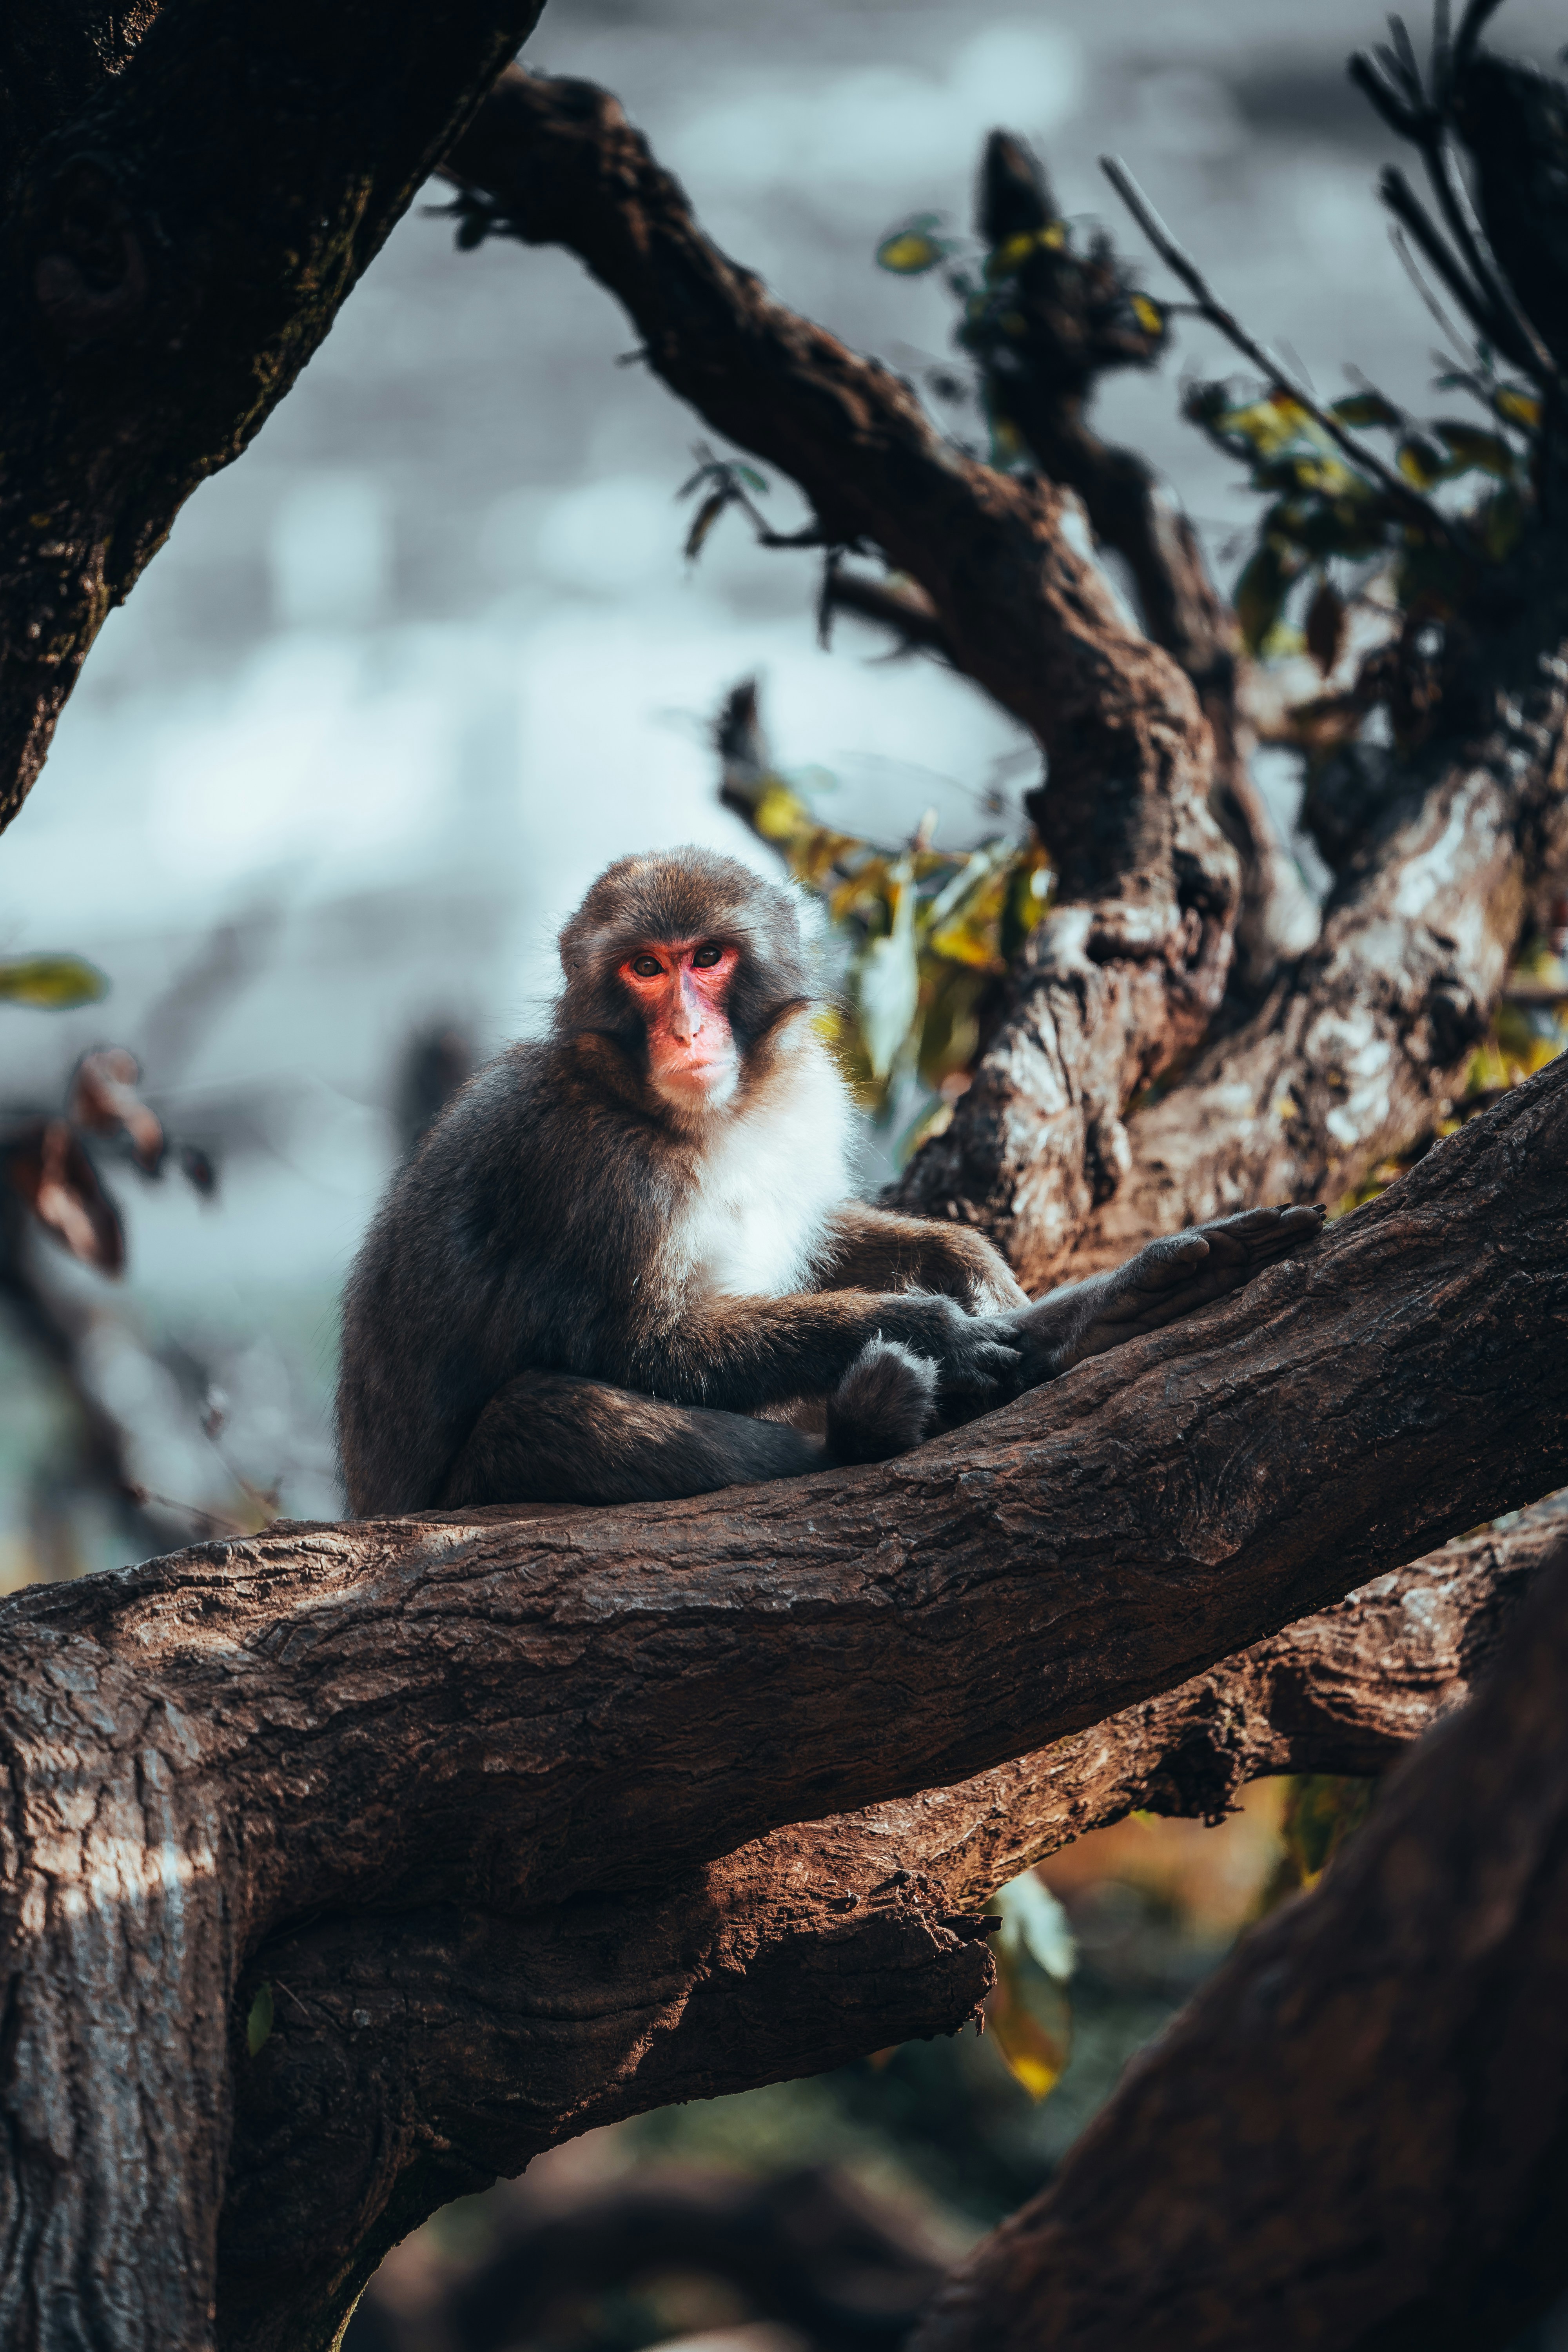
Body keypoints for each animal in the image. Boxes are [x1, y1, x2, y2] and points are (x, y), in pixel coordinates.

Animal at [336, 849, 1323, 1517]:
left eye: (707, 959)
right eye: (644, 969)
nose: (686, 1031)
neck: (695, 1120)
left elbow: (814, 1243)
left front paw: (960, 1259)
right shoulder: (588, 1169)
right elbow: (636, 1348)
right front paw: (926, 1327)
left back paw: (1097, 1317)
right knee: (543, 1415)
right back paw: (861, 1435)